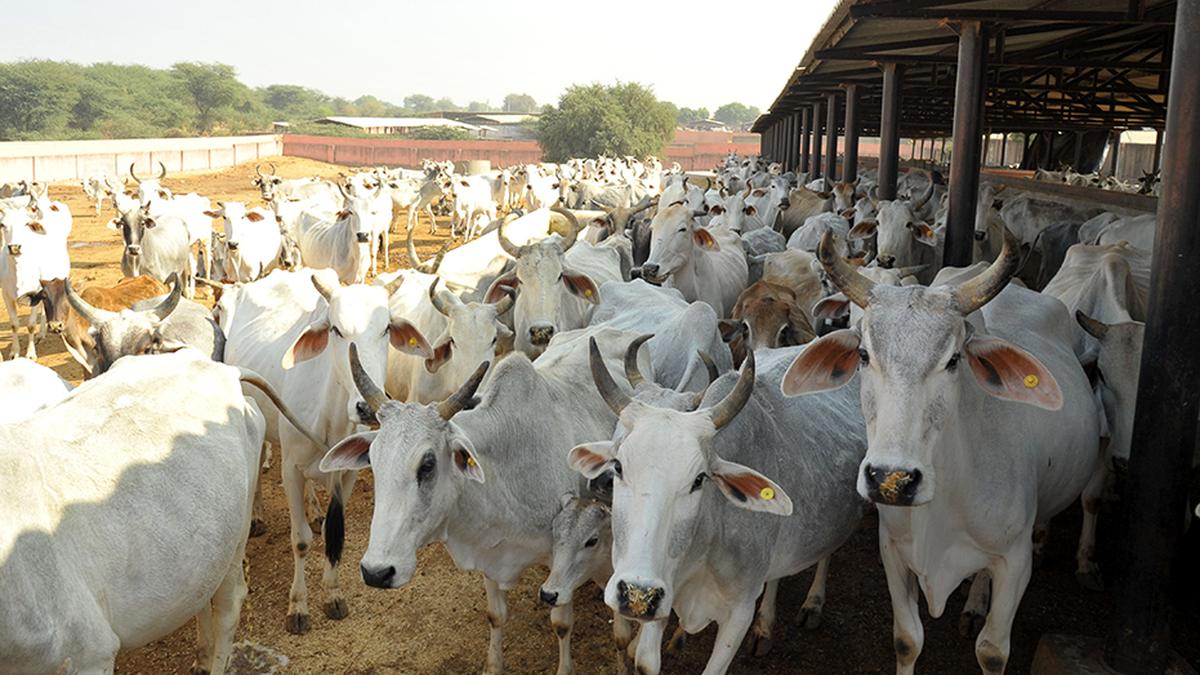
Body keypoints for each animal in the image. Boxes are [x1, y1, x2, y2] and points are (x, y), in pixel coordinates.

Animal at [218, 269, 432, 634]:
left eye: (386, 328)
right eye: (336, 329)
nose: (367, 408)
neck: (331, 416)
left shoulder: (348, 473)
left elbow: (336, 536)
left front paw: (332, 594)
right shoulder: (290, 469)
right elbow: (301, 540)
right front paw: (298, 606)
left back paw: (315, 508)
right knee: (258, 460)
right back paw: (257, 514)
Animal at [318, 326, 646, 675]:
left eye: (427, 465)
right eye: (373, 460)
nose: (376, 572)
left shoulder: (562, 555)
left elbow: (561, 622)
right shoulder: (489, 552)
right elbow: (495, 616)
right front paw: (493, 665)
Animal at [569, 336, 865, 674]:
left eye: (699, 479)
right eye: (618, 464)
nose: (636, 595)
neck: (704, 546)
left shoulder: (738, 614)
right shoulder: (663, 593)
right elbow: (645, 661)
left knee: (826, 553)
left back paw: (811, 604)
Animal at [781, 229, 1103, 674]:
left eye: (953, 360)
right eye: (864, 354)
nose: (891, 480)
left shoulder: (1015, 562)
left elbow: (992, 652)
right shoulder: (893, 551)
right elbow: (906, 640)